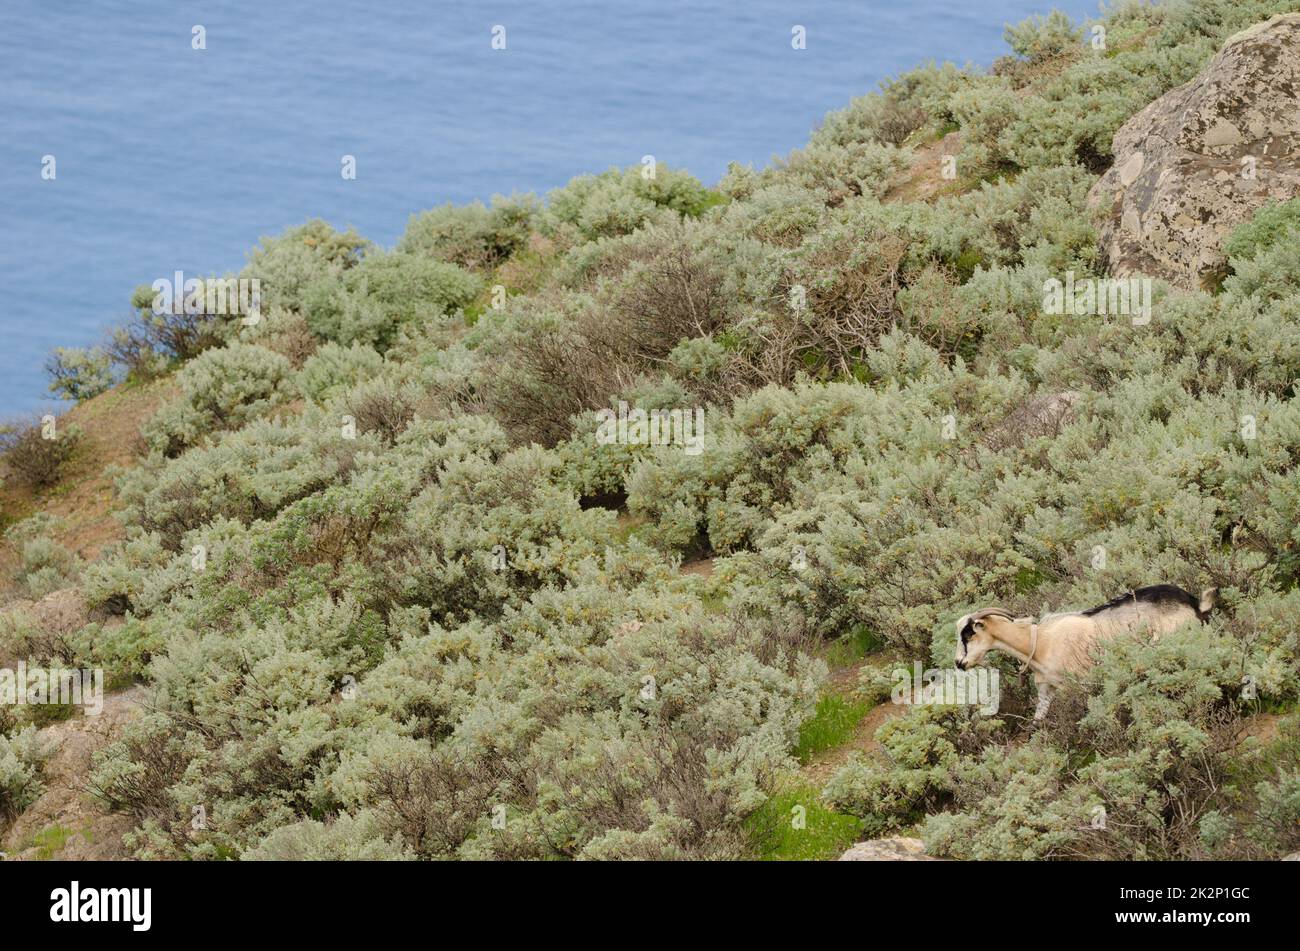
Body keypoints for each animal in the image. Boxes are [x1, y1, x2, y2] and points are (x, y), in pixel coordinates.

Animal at [953, 584, 1217, 719]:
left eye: (968, 634)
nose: (958, 663)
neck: (1039, 642)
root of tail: (1195, 603)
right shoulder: (1047, 688)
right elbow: (1039, 721)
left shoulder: (1079, 685)